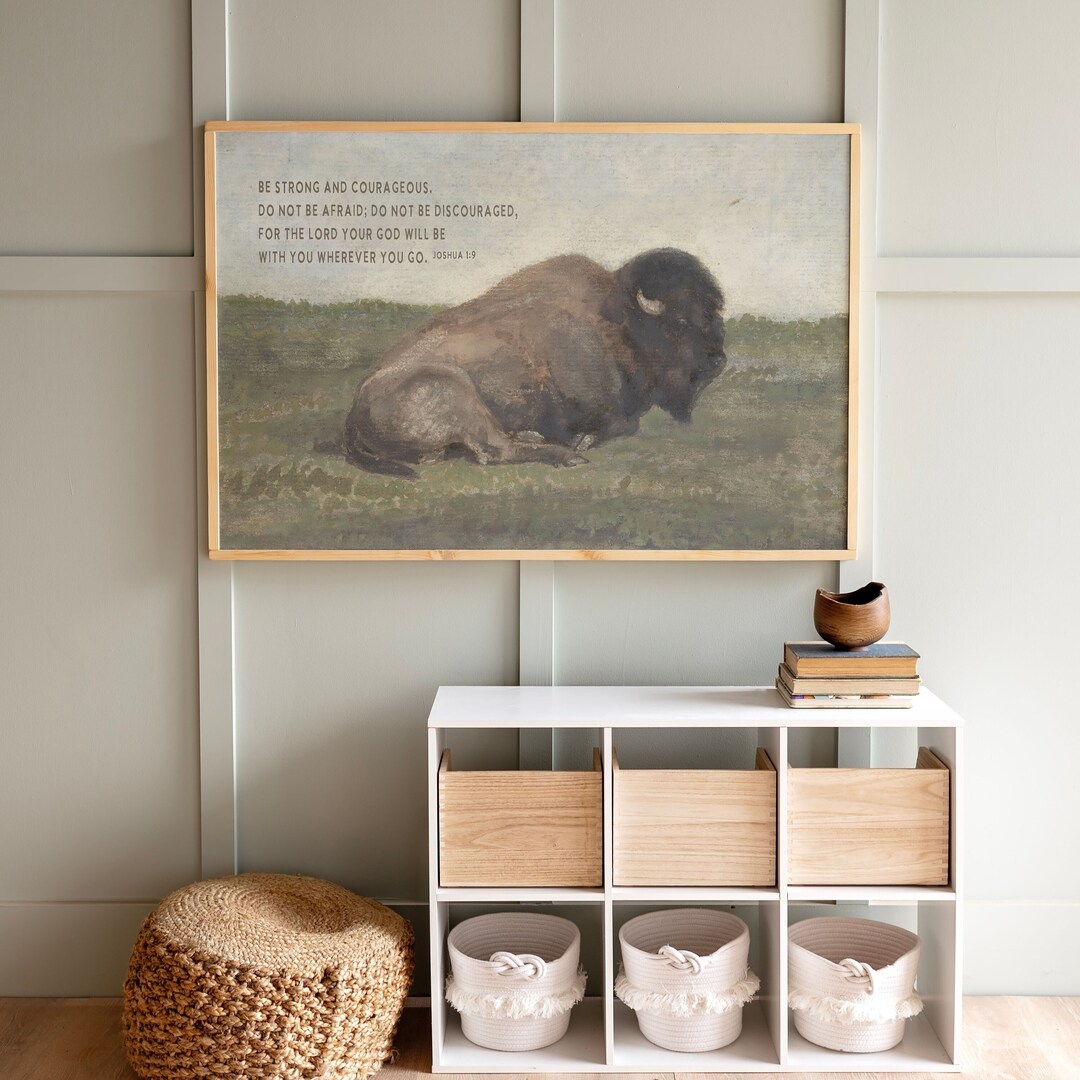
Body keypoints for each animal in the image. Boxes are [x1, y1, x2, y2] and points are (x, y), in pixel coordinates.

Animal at [341, 247, 727, 477]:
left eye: (715, 311)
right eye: (681, 320)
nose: (718, 361)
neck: (615, 323)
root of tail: (355, 406)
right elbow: (623, 424)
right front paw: (582, 443)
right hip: (456, 392)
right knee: (495, 450)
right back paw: (567, 456)